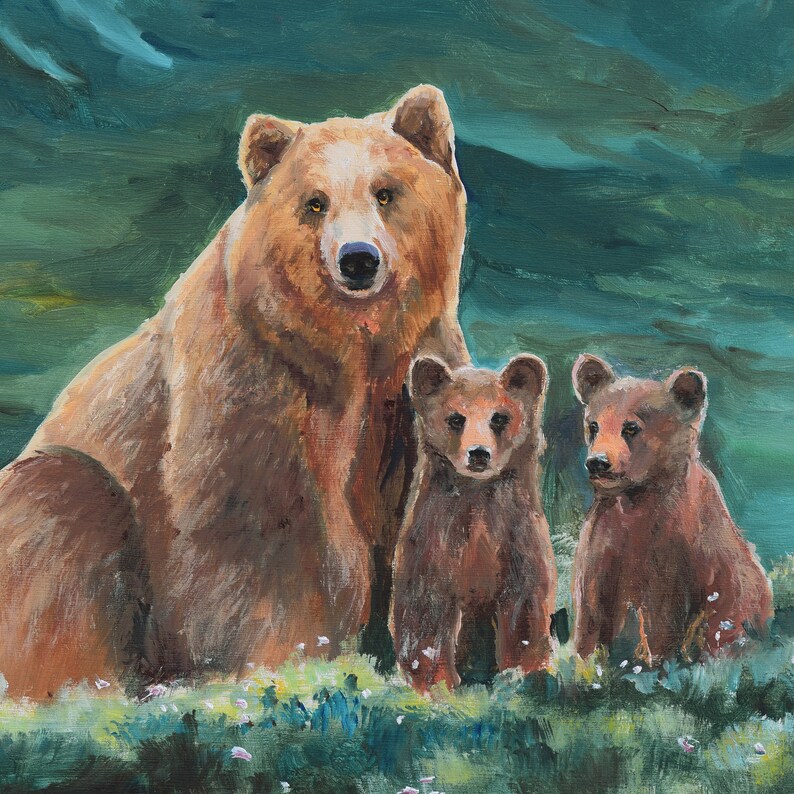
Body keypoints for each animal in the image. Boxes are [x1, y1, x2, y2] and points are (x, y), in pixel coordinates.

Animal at [0, 85, 469, 698]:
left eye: (385, 191)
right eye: (315, 202)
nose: (358, 260)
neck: (349, 353)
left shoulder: (408, 388)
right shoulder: (249, 386)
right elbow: (257, 538)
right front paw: (290, 658)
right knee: (65, 506)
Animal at [391, 355, 556, 691]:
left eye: (499, 418)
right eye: (456, 418)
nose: (478, 453)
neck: (477, 495)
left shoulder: (517, 540)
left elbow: (525, 608)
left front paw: (525, 673)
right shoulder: (434, 542)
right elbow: (426, 612)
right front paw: (435, 682)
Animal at [570, 354, 773, 666]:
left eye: (631, 427)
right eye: (594, 425)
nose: (598, 462)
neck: (635, 500)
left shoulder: (674, 550)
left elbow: (662, 615)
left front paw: (653, 661)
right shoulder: (604, 543)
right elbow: (592, 607)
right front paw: (585, 660)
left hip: (739, 594)